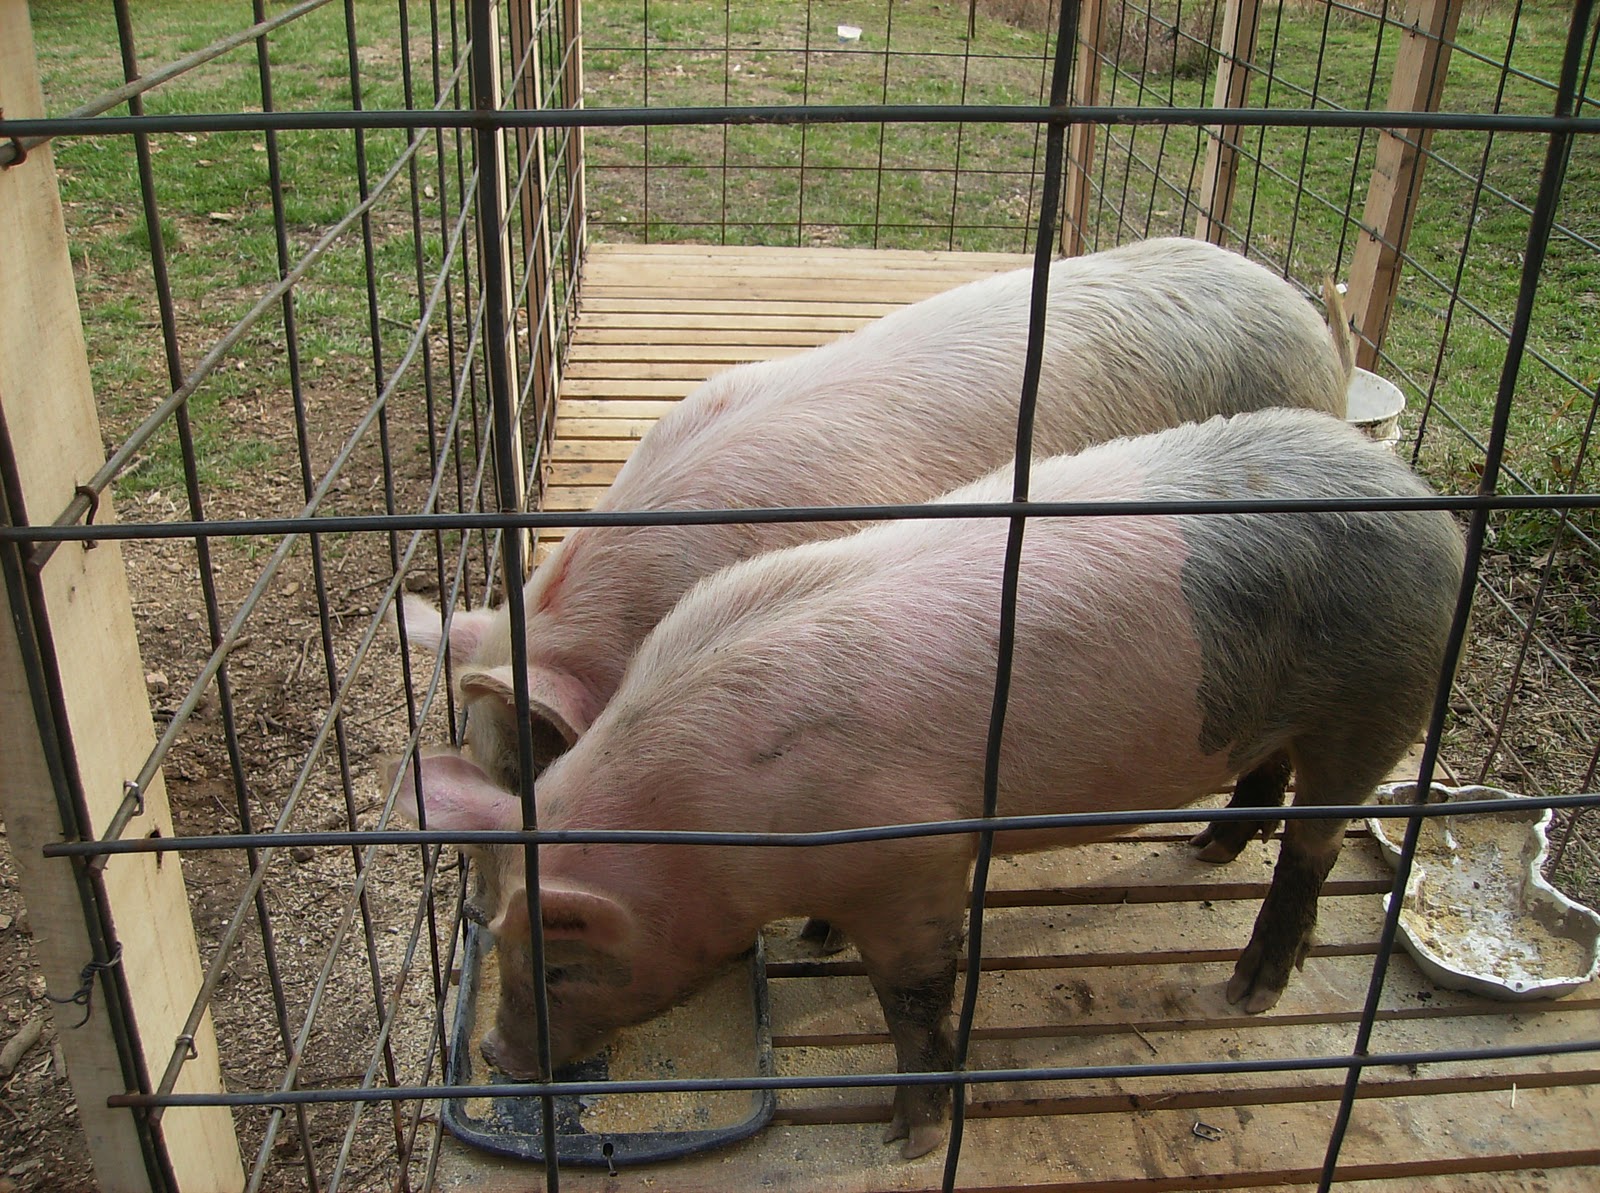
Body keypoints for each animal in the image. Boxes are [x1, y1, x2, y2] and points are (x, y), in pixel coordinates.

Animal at [394, 407, 1465, 1159]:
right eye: (496, 940)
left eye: (563, 963)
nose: (496, 1058)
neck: (718, 821)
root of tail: (1425, 500)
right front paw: (815, 943)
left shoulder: (913, 858)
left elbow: (913, 1000)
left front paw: (905, 1136)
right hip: (1278, 705)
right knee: (1267, 772)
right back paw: (1206, 847)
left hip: (1377, 702)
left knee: (1316, 844)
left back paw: (1247, 991)